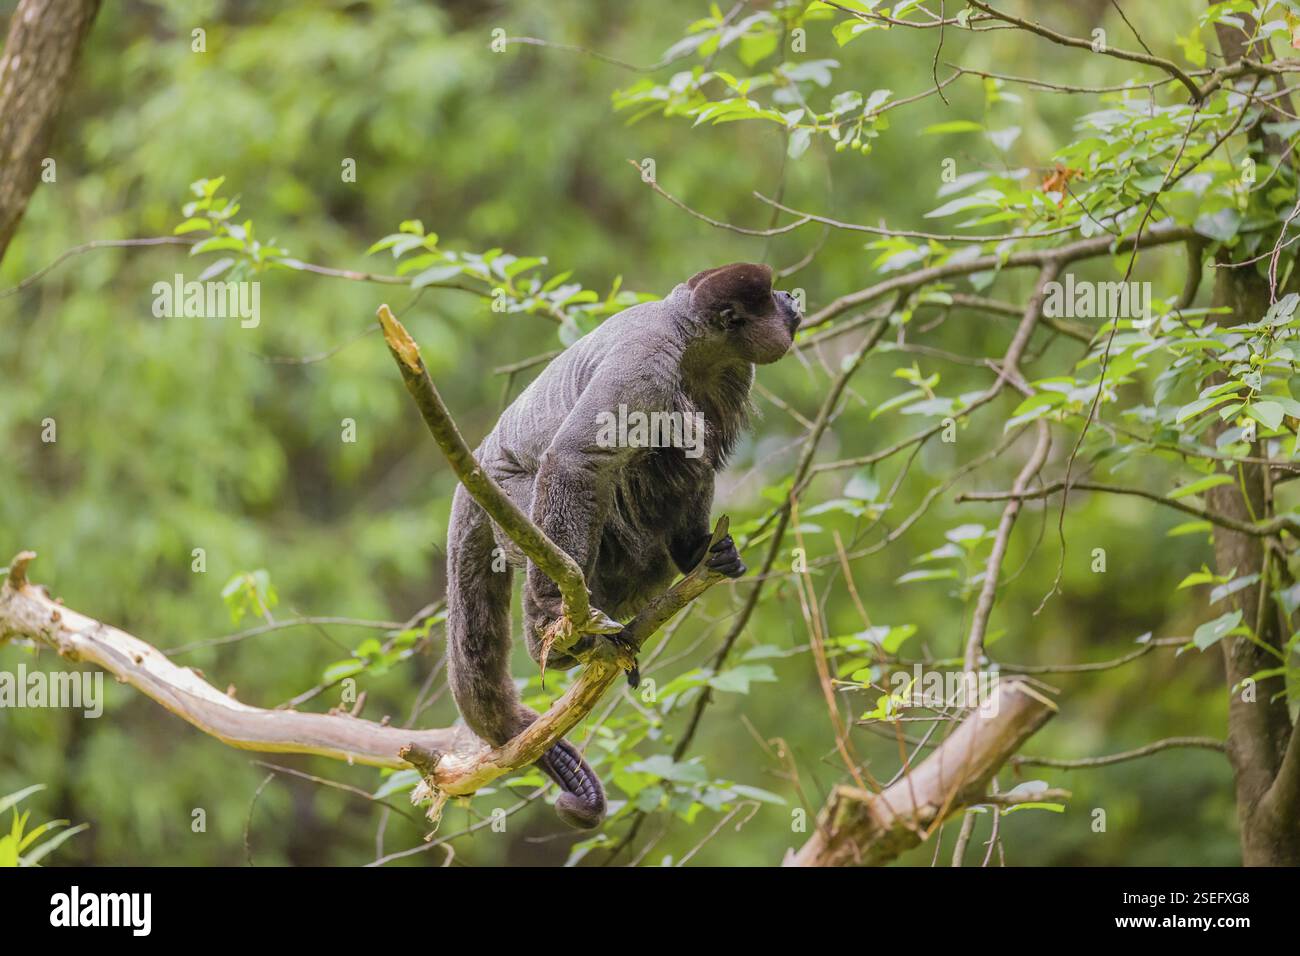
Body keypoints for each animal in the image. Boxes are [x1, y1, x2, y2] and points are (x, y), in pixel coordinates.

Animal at [445, 262, 801, 829]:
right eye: (771, 296)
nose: (790, 296)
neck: (690, 336)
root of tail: (476, 460)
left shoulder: (732, 371)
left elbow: (701, 452)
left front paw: (701, 551)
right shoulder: (644, 364)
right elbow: (575, 457)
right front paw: (553, 616)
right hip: (513, 503)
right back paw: (554, 630)